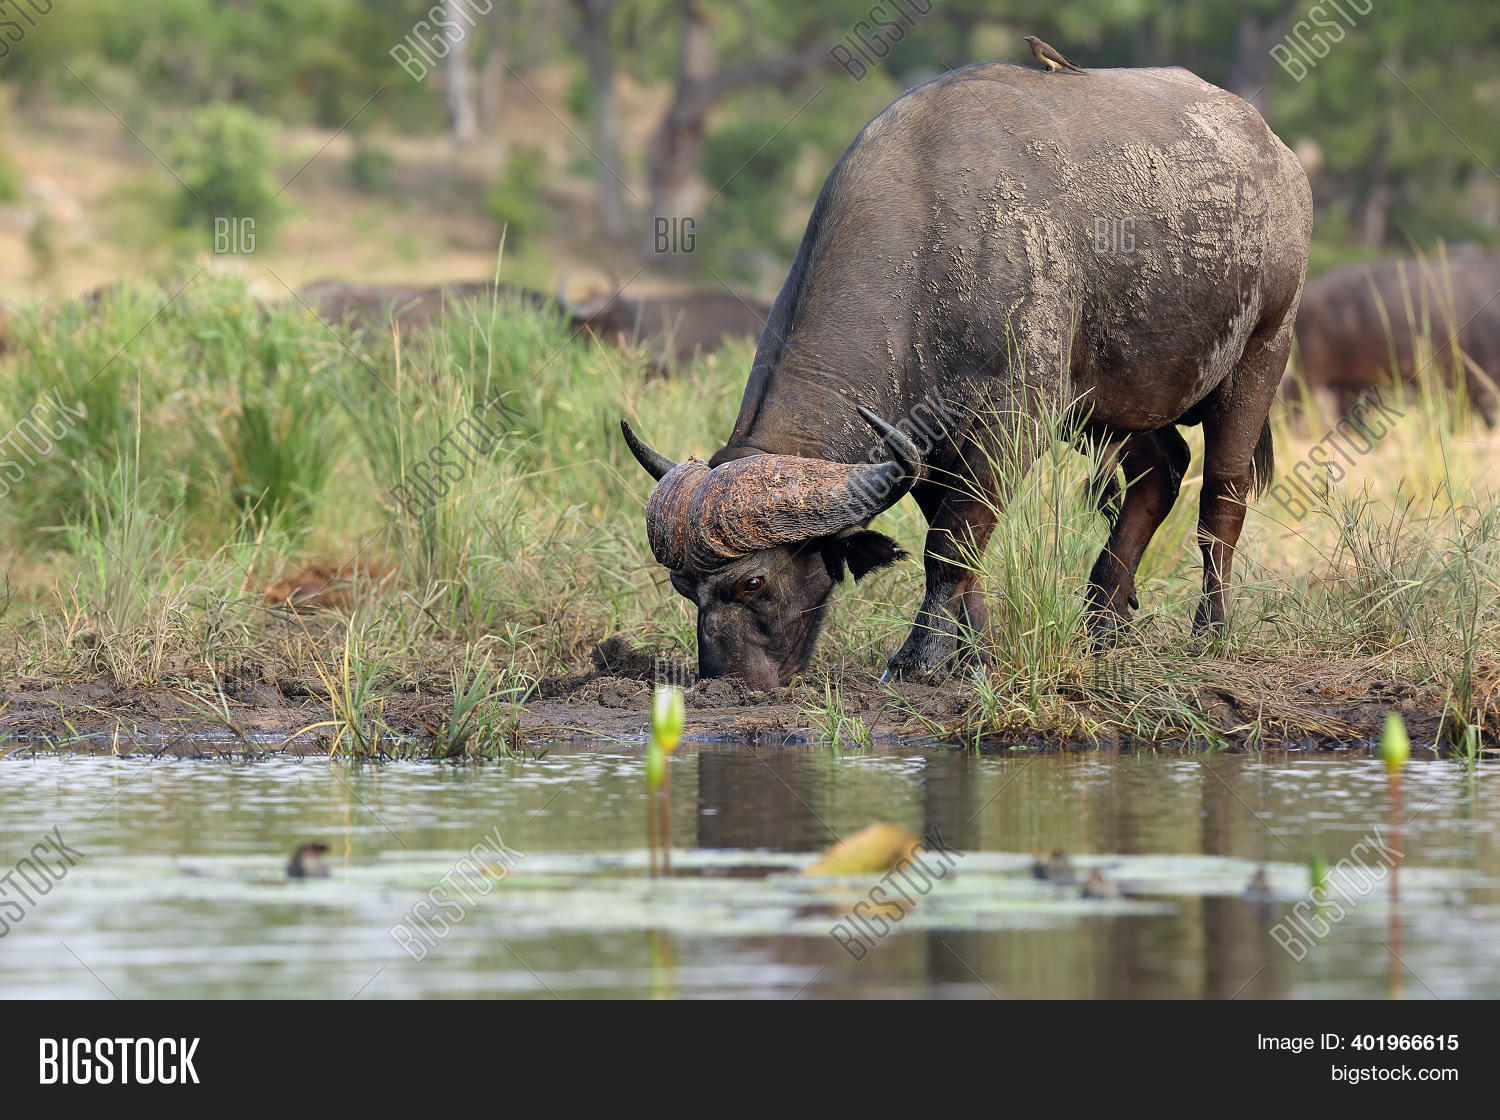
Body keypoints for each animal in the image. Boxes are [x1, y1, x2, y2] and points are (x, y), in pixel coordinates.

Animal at [621, 62, 1312, 689]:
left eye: (754, 581)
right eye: (684, 587)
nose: (722, 679)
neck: (928, 237)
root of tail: (1280, 158)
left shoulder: (1011, 423)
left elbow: (949, 546)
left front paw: (917, 658)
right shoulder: (922, 447)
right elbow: (954, 542)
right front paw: (975, 652)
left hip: (1262, 351)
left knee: (1221, 498)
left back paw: (1209, 630)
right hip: (1118, 397)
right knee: (1160, 472)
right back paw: (1102, 623)